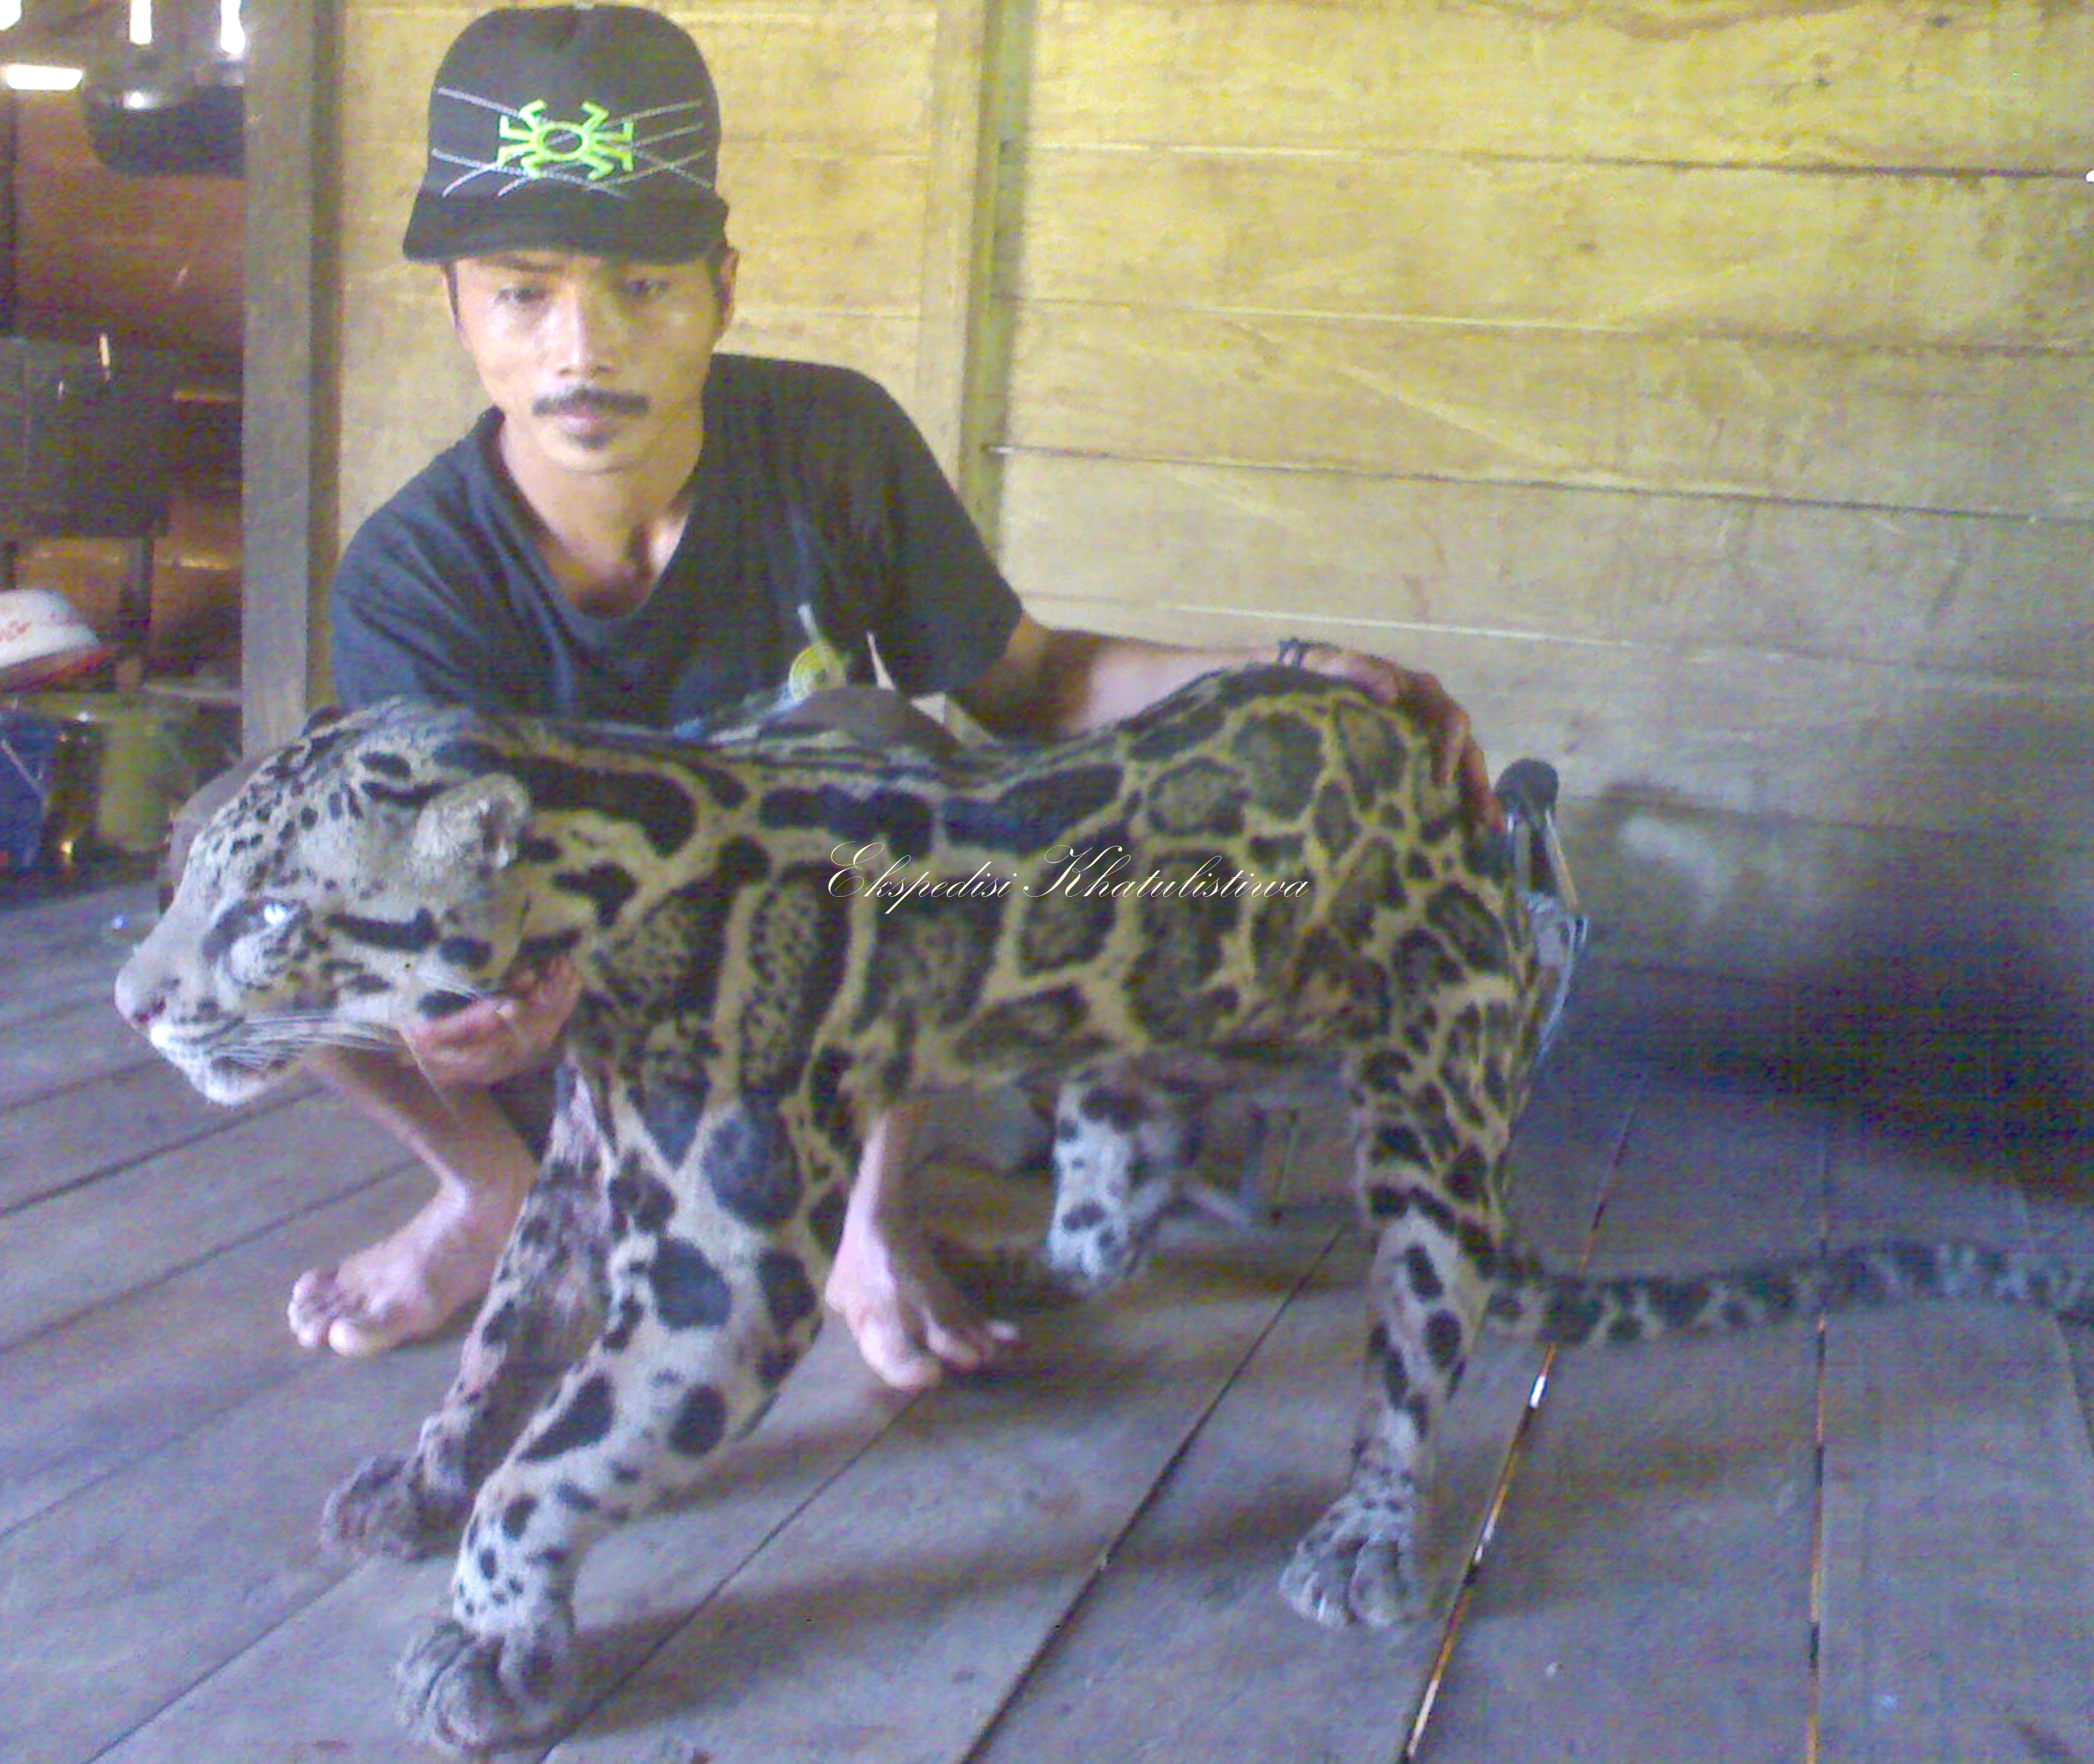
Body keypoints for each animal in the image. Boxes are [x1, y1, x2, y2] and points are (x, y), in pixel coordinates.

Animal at [113, 666, 2094, 1755]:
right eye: (182, 873)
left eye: (261, 914)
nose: (135, 1000)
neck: (607, 853)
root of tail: (1466, 819)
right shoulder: (595, 1172)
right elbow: (505, 1352)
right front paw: (416, 1475)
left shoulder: (720, 1258)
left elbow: (565, 1454)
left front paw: (489, 1626)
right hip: (1126, 1058)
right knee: (1115, 1203)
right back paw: (1014, 1258)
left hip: (1429, 1104)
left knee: (1416, 1338)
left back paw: (1363, 1530)